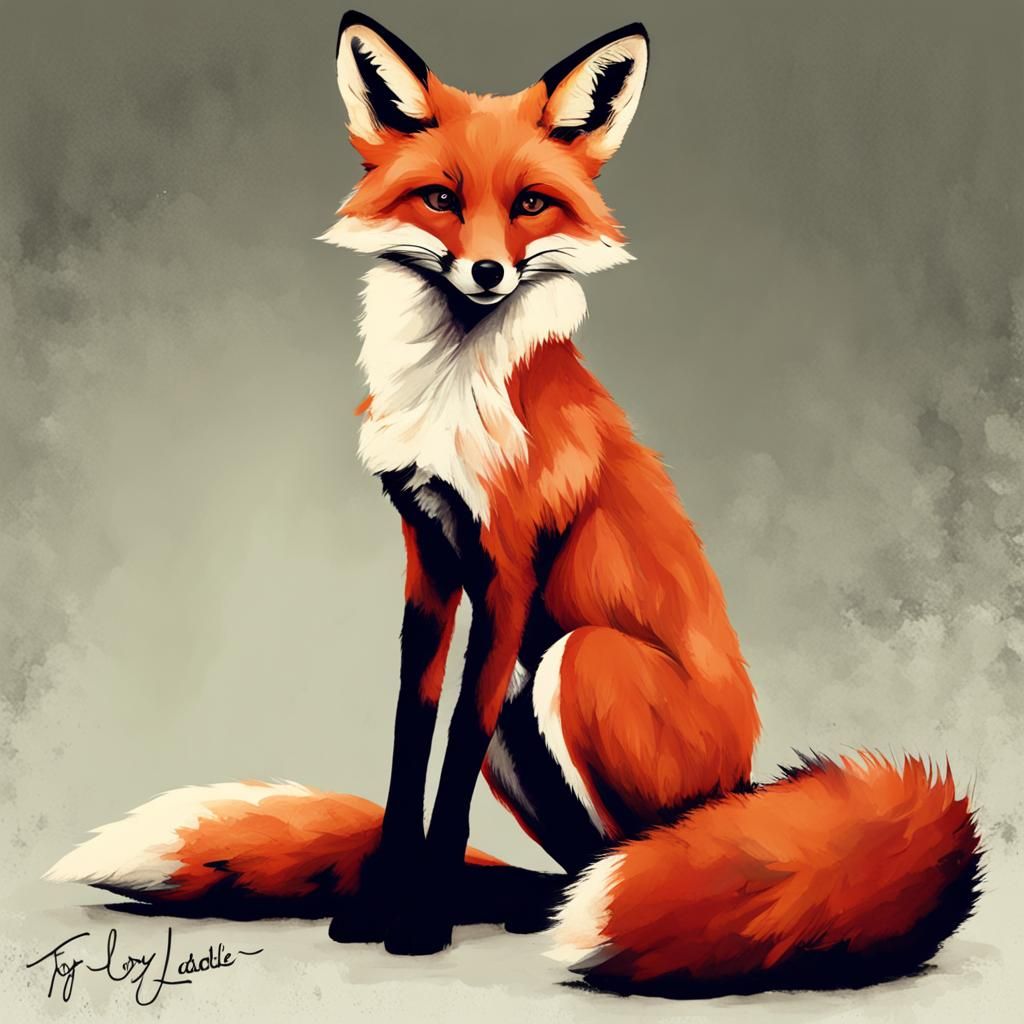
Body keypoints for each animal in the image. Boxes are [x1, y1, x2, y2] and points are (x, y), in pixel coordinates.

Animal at [46, 12, 981, 997]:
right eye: (442, 199)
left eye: (531, 204)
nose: (489, 272)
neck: (452, 394)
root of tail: (746, 789)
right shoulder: (428, 560)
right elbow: (411, 737)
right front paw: (380, 902)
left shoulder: (509, 571)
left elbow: (452, 750)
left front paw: (418, 922)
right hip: (526, 715)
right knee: (574, 864)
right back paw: (540, 903)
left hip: (574, 663)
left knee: (637, 850)